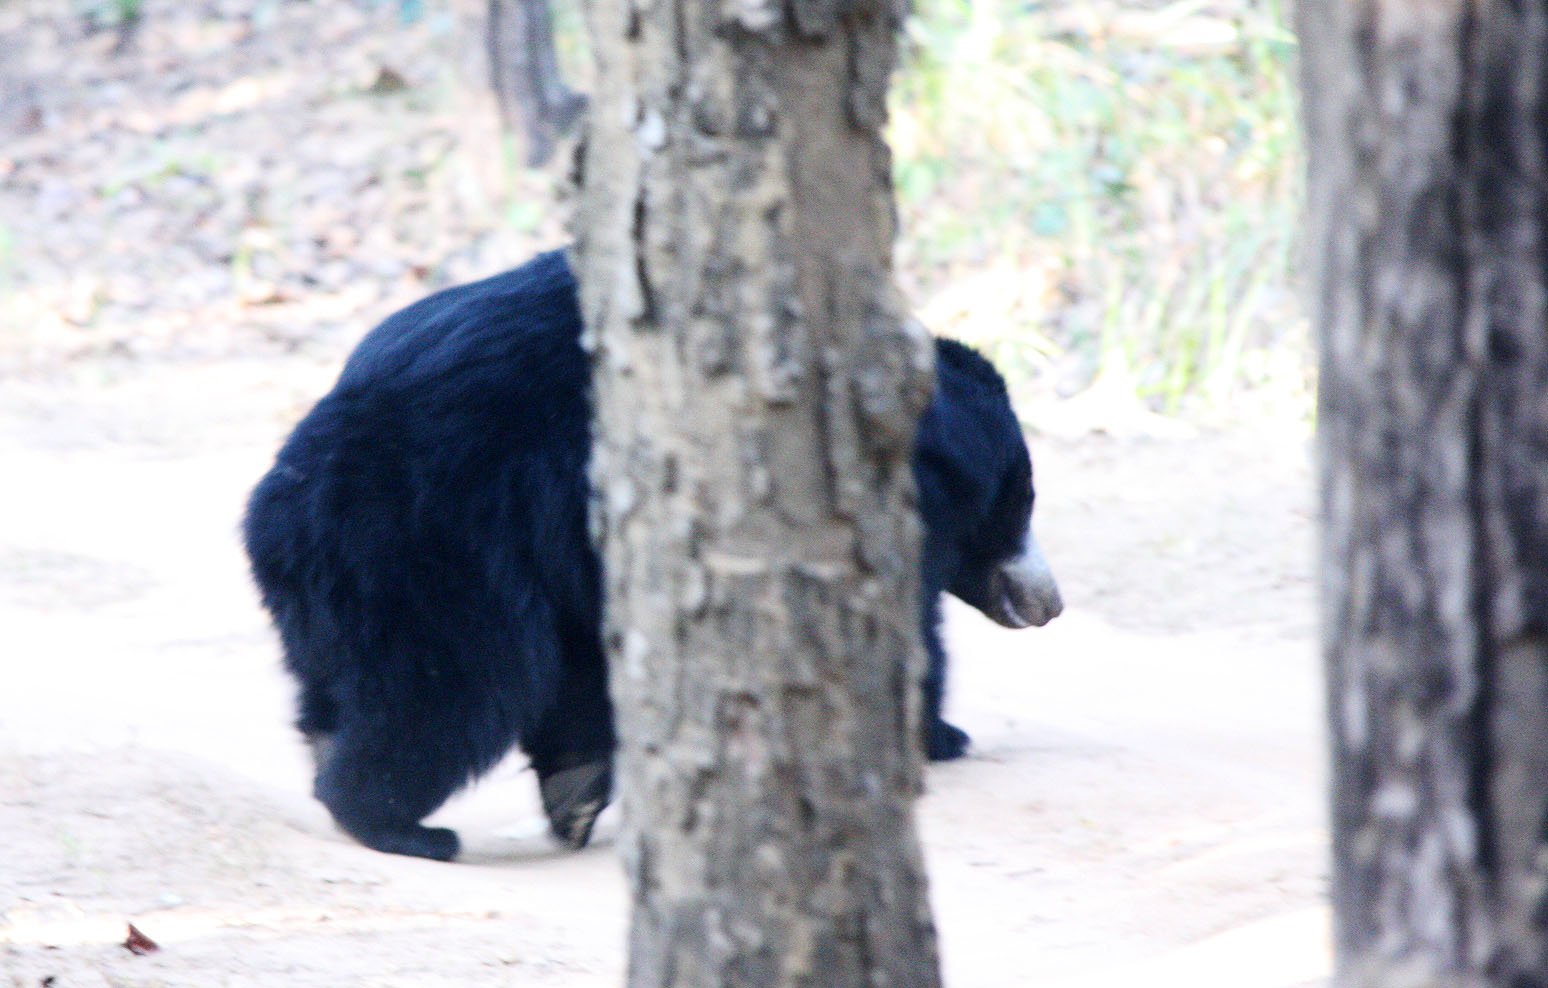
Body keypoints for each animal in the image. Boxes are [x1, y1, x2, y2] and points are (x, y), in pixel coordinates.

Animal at [243, 249, 1062, 861]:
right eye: (1020, 502)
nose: (1048, 603)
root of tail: (286, 493)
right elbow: (900, 628)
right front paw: (936, 735)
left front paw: (576, 788)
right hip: (431, 543)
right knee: (461, 683)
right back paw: (397, 823)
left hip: (355, 579)